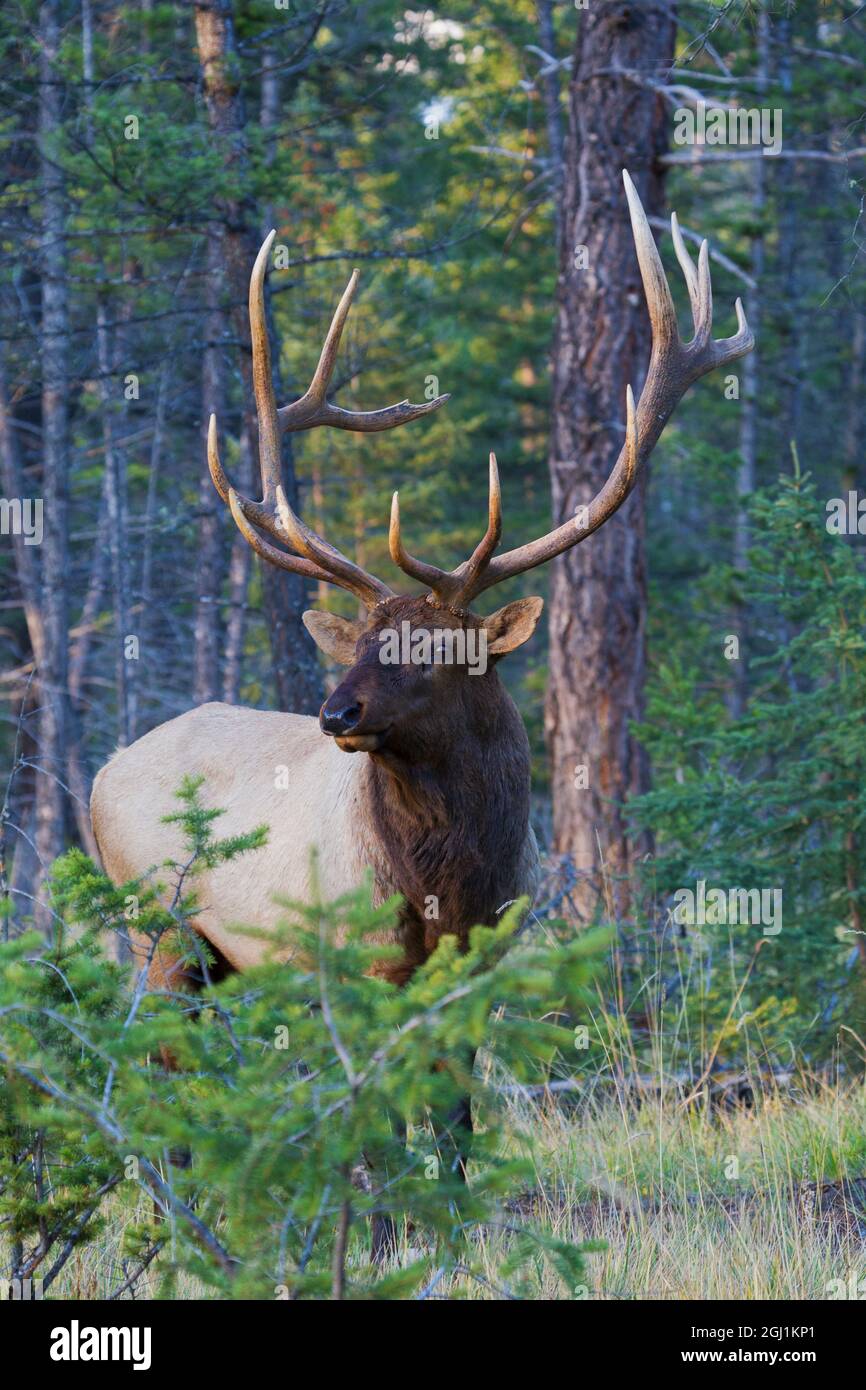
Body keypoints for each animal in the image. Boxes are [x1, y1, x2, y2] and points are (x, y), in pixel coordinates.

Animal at [91, 170, 753, 1219]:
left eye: (436, 646)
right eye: (363, 640)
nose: (337, 713)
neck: (449, 881)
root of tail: (100, 772)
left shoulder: (480, 961)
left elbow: (456, 1117)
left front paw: (449, 1213)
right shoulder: (363, 964)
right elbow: (384, 1119)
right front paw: (385, 1220)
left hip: (220, 959)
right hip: (156, 930)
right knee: (154, 1064)